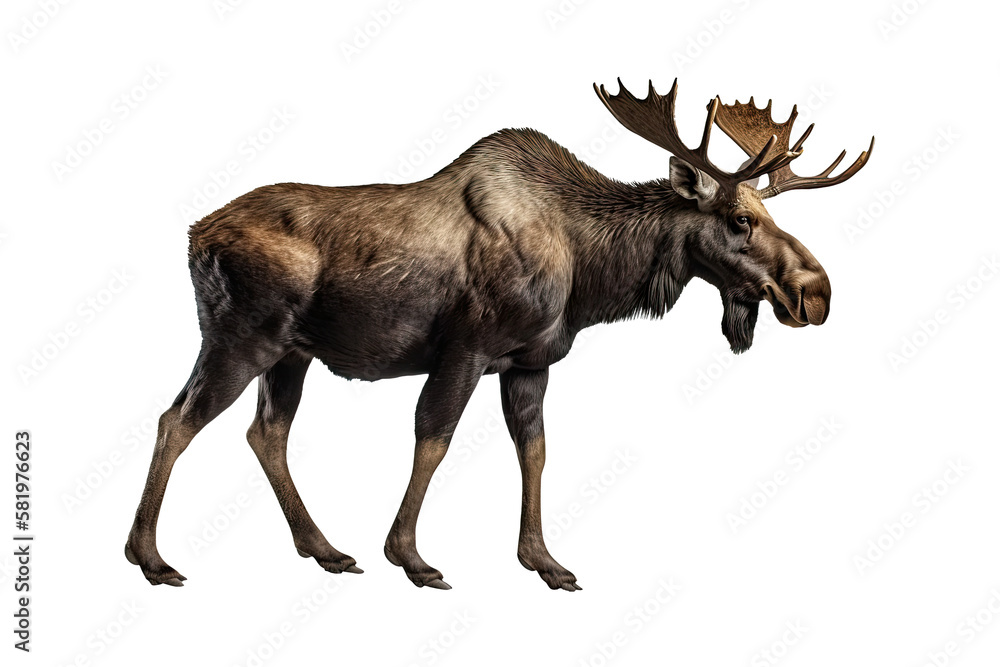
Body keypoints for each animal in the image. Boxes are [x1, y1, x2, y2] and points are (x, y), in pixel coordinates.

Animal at [126, 79, 873, 592]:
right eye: (741, 219)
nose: (817, 294)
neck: (592, 270)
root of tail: (194, 236)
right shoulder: (466, 348)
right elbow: (435, 438)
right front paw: (411, 556)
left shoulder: (529, 362)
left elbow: (534, 451)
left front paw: (544, 560)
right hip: (240, 337)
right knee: (176, 419)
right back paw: (150, 557)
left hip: (291, 353)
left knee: (265, 431)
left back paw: (325, 548)